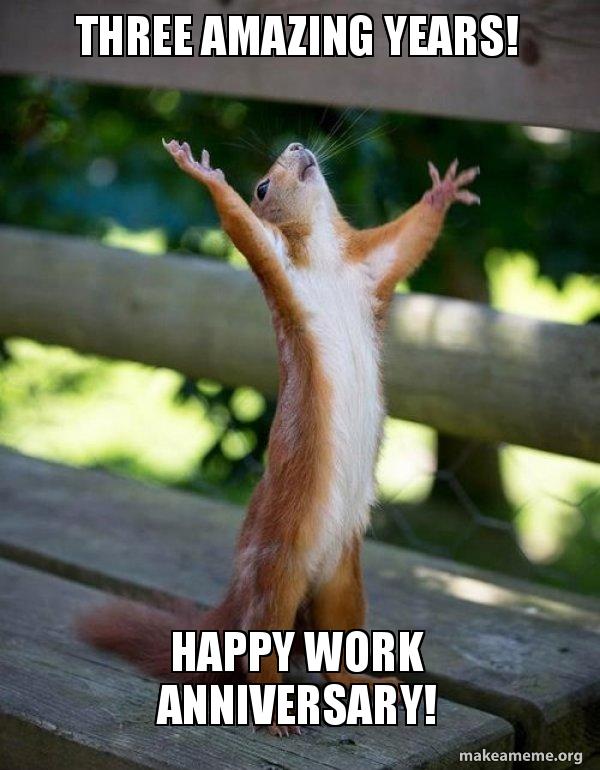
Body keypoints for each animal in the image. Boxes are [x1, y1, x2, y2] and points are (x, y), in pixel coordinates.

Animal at [79, 138, 479, 736]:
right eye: (262, 186)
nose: (296, 146)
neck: (328, 260)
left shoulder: (371, 267)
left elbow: (408, 241)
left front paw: (444, 191)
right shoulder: (278, 266)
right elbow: (242, 227)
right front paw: (204, 173)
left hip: (344, 583)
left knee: (338, 645)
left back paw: (366, 683)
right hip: (277, 567)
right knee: (260, 644)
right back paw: (275, 709)